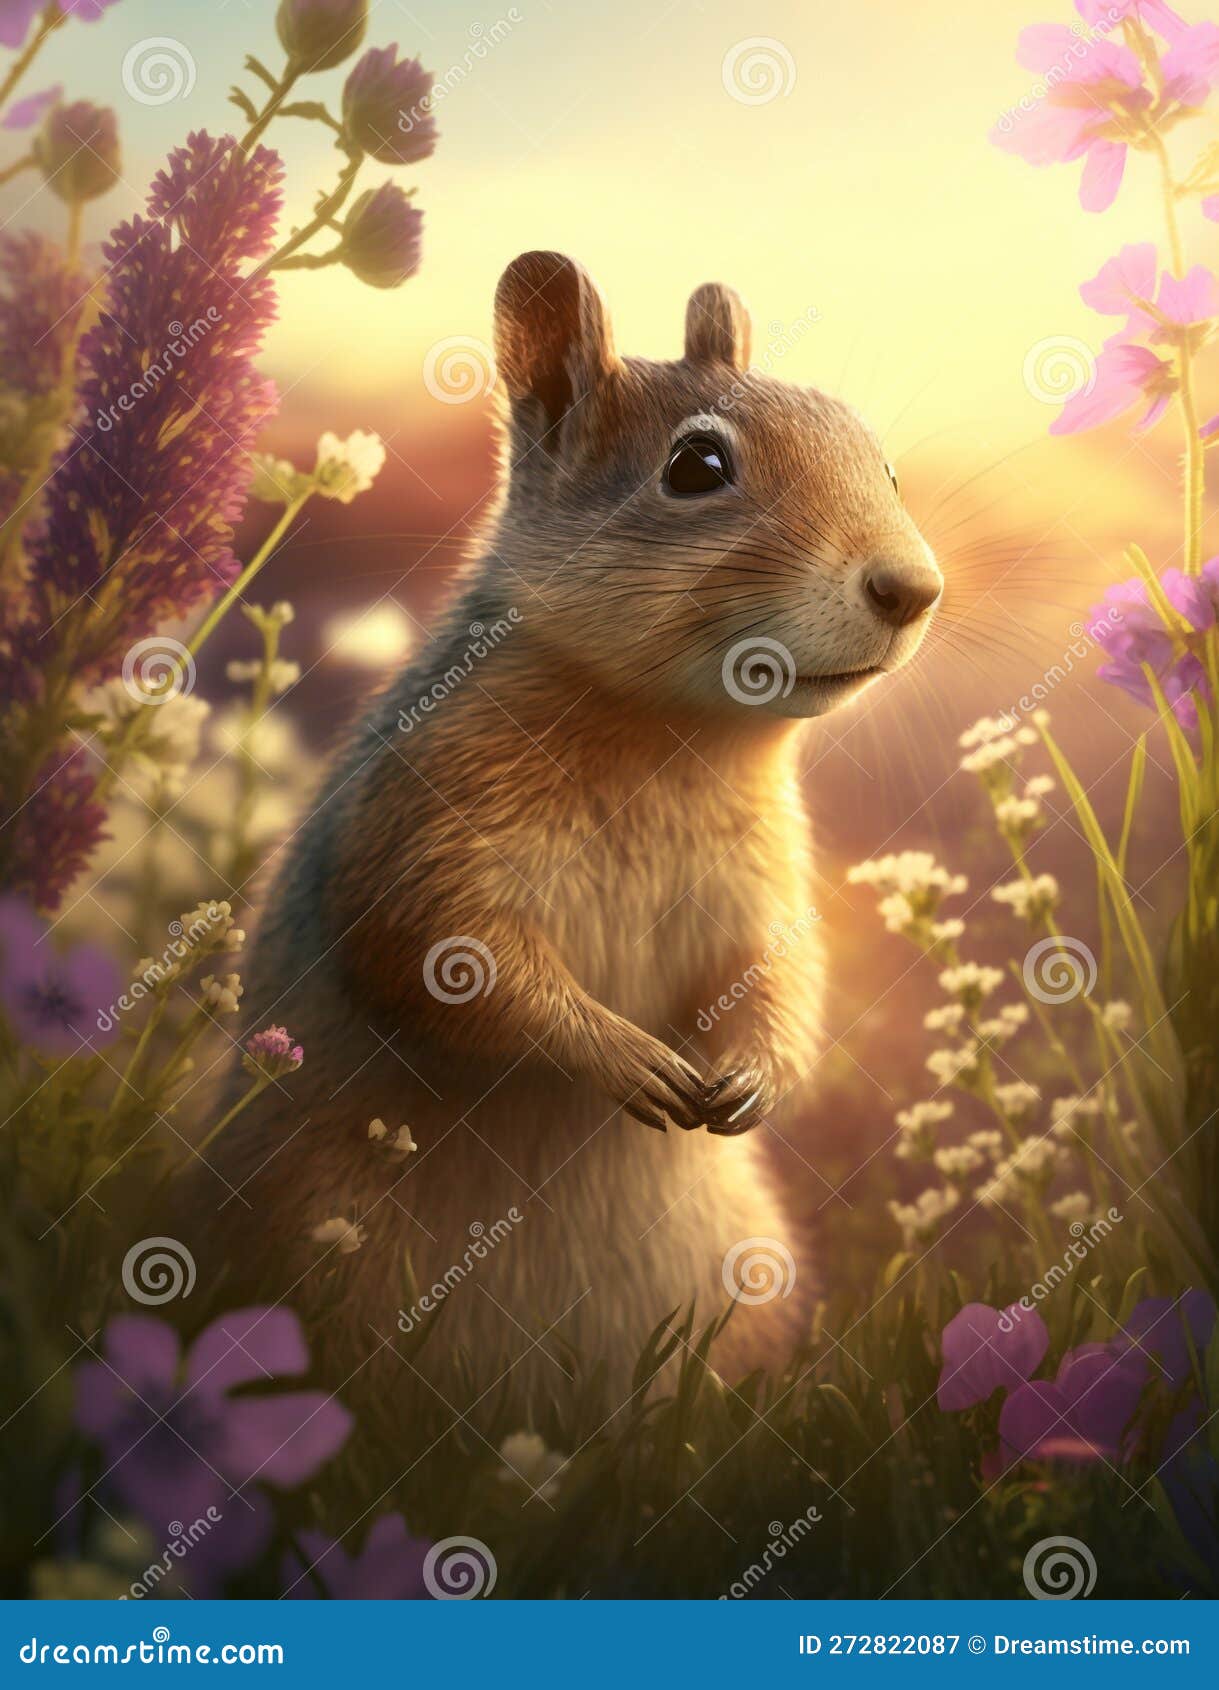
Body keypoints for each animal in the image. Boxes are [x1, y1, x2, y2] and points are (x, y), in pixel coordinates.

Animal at [194, 252, 943, 1428]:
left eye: (886, 466)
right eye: (696, 466)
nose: (912, 588)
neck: (667, 737)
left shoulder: (766, 889)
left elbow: (782, 981)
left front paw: (751, 1077)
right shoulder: (423, 822)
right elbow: (447, 962)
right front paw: (623, 1056)